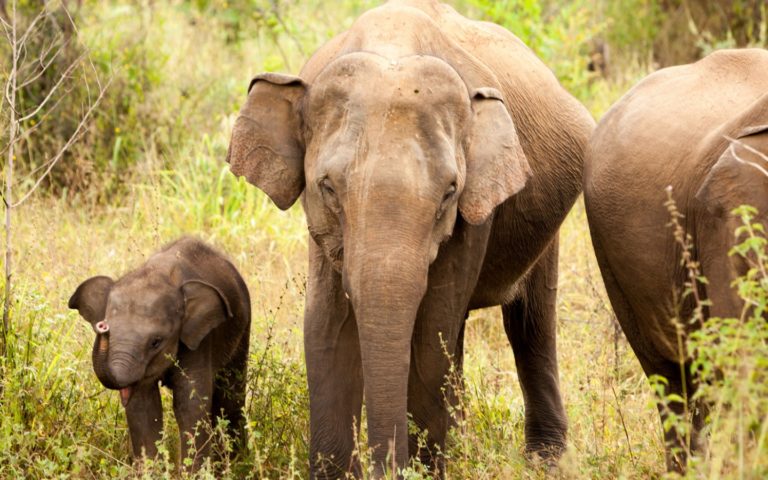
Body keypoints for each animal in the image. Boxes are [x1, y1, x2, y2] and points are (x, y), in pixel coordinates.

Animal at [68, 237, 251, 469]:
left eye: (156, 342)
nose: (102, 326)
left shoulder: (199, 339)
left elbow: (189, 404)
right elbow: (143, 406)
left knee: (230, 397)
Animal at [227, 0, 594, 477]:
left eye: (450, 191)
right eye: (327, 187)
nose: (389, 466)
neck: (392, 45)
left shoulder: (474, 214)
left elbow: (430, 330)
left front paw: (422, 467)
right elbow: (327, 328)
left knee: (529, 323)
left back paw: (544, 460)